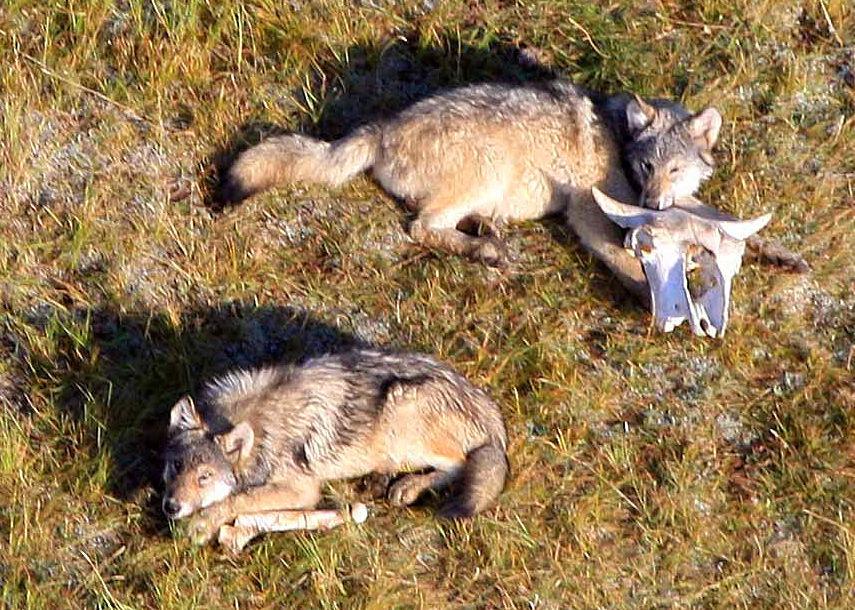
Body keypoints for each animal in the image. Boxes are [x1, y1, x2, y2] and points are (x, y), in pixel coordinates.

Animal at [161, 349, 508, 544]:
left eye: (204, 477)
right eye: (176, 467)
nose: (171, 507)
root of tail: (493, 414)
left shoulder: (302, 490)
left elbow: (237, 499)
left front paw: (202, 525)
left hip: (400, 409)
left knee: (459, 465)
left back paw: (408, 487)